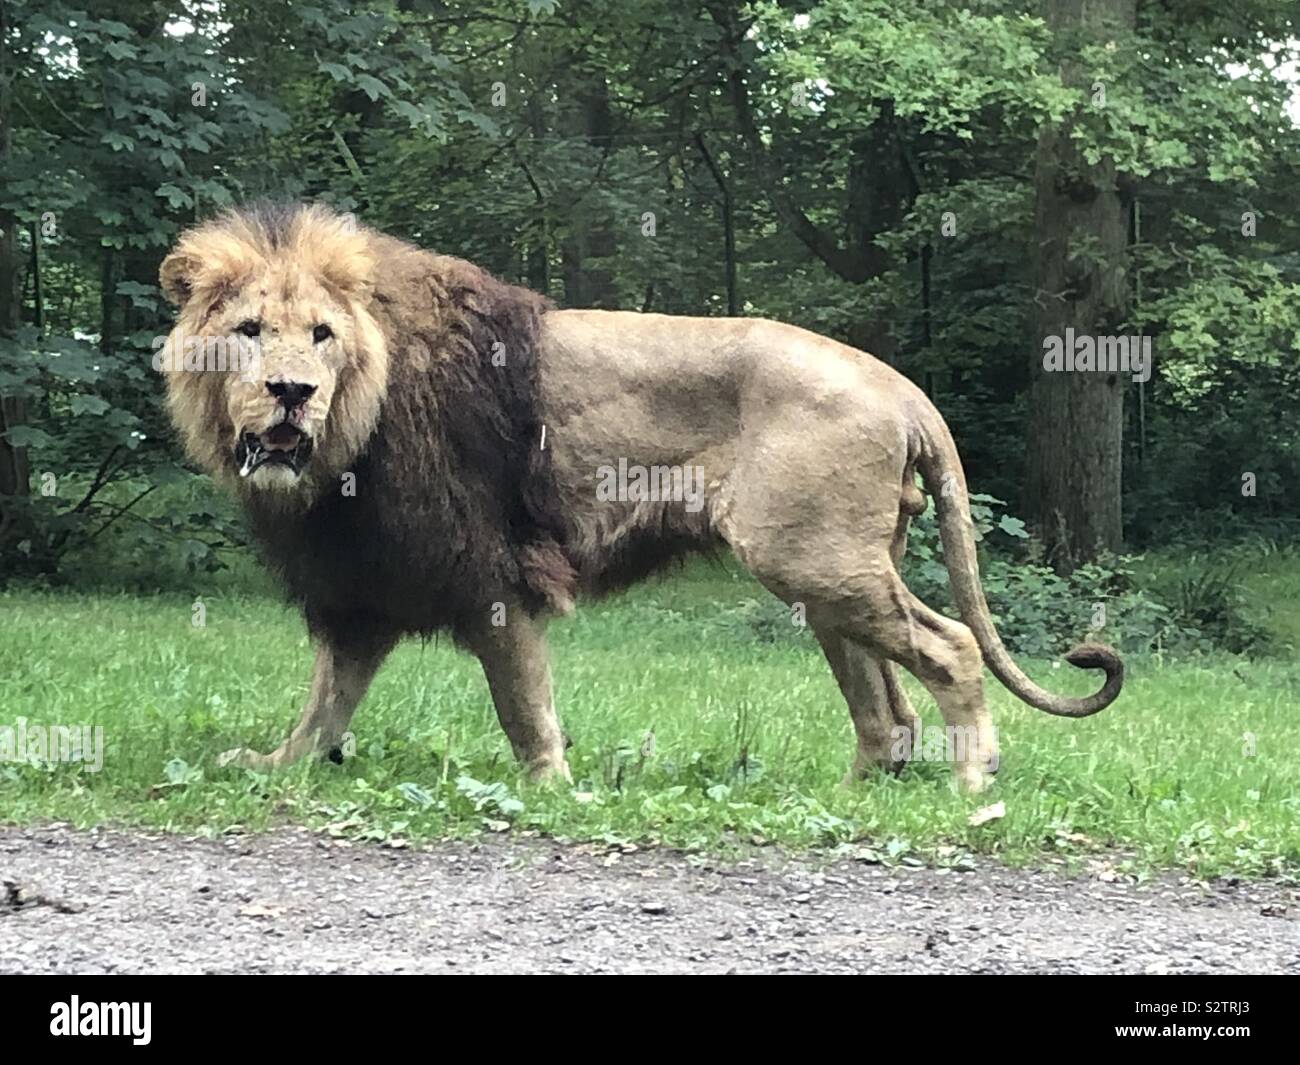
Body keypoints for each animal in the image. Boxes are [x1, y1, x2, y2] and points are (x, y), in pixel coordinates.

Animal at [158, 202, 1121, 792]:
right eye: (250, 331)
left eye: (322, 335)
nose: (290, 392)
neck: (350, 433)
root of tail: (903, 387)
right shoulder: (361, 583)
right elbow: (328, 699)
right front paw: (274, 765)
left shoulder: (488, 570)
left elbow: (522, 702)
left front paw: (551, 789)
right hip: (826, 573)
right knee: (886, 707)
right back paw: (853, 795)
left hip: (813, 558)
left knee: (951, 647)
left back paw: (971, 785)